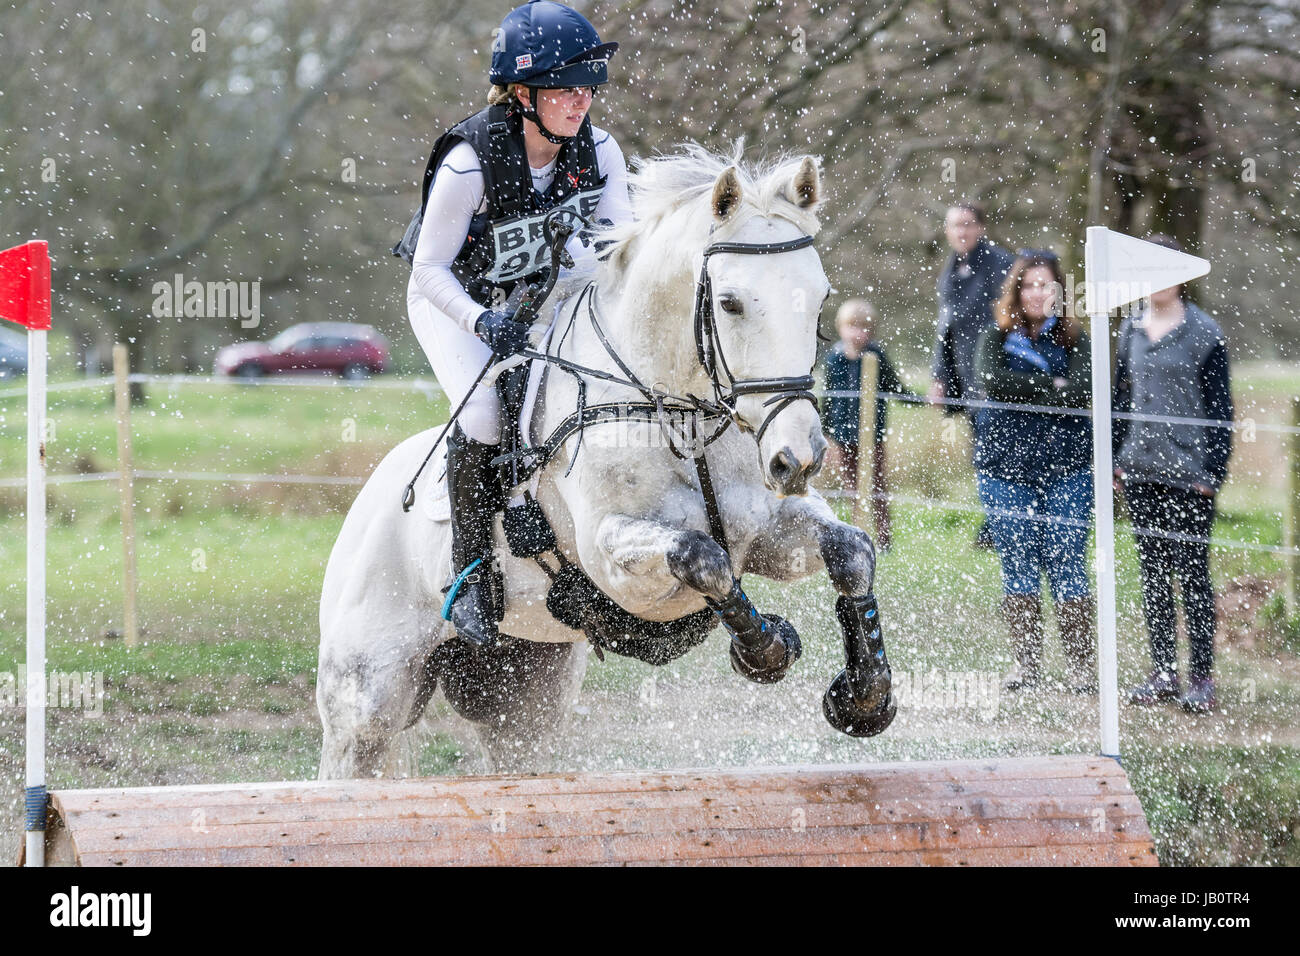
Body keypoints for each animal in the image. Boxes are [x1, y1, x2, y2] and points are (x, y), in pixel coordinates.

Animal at [317, 141, 895, 778]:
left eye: (819, 297)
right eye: (730, 303)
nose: (798, 458)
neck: (678, 412)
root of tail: (365, 504)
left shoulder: (764, 530)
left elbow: (850, 549)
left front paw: (865, 696)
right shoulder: (614, 558)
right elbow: (702, 557)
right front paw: (765, 649)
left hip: (521, 699)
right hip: (367, 698)